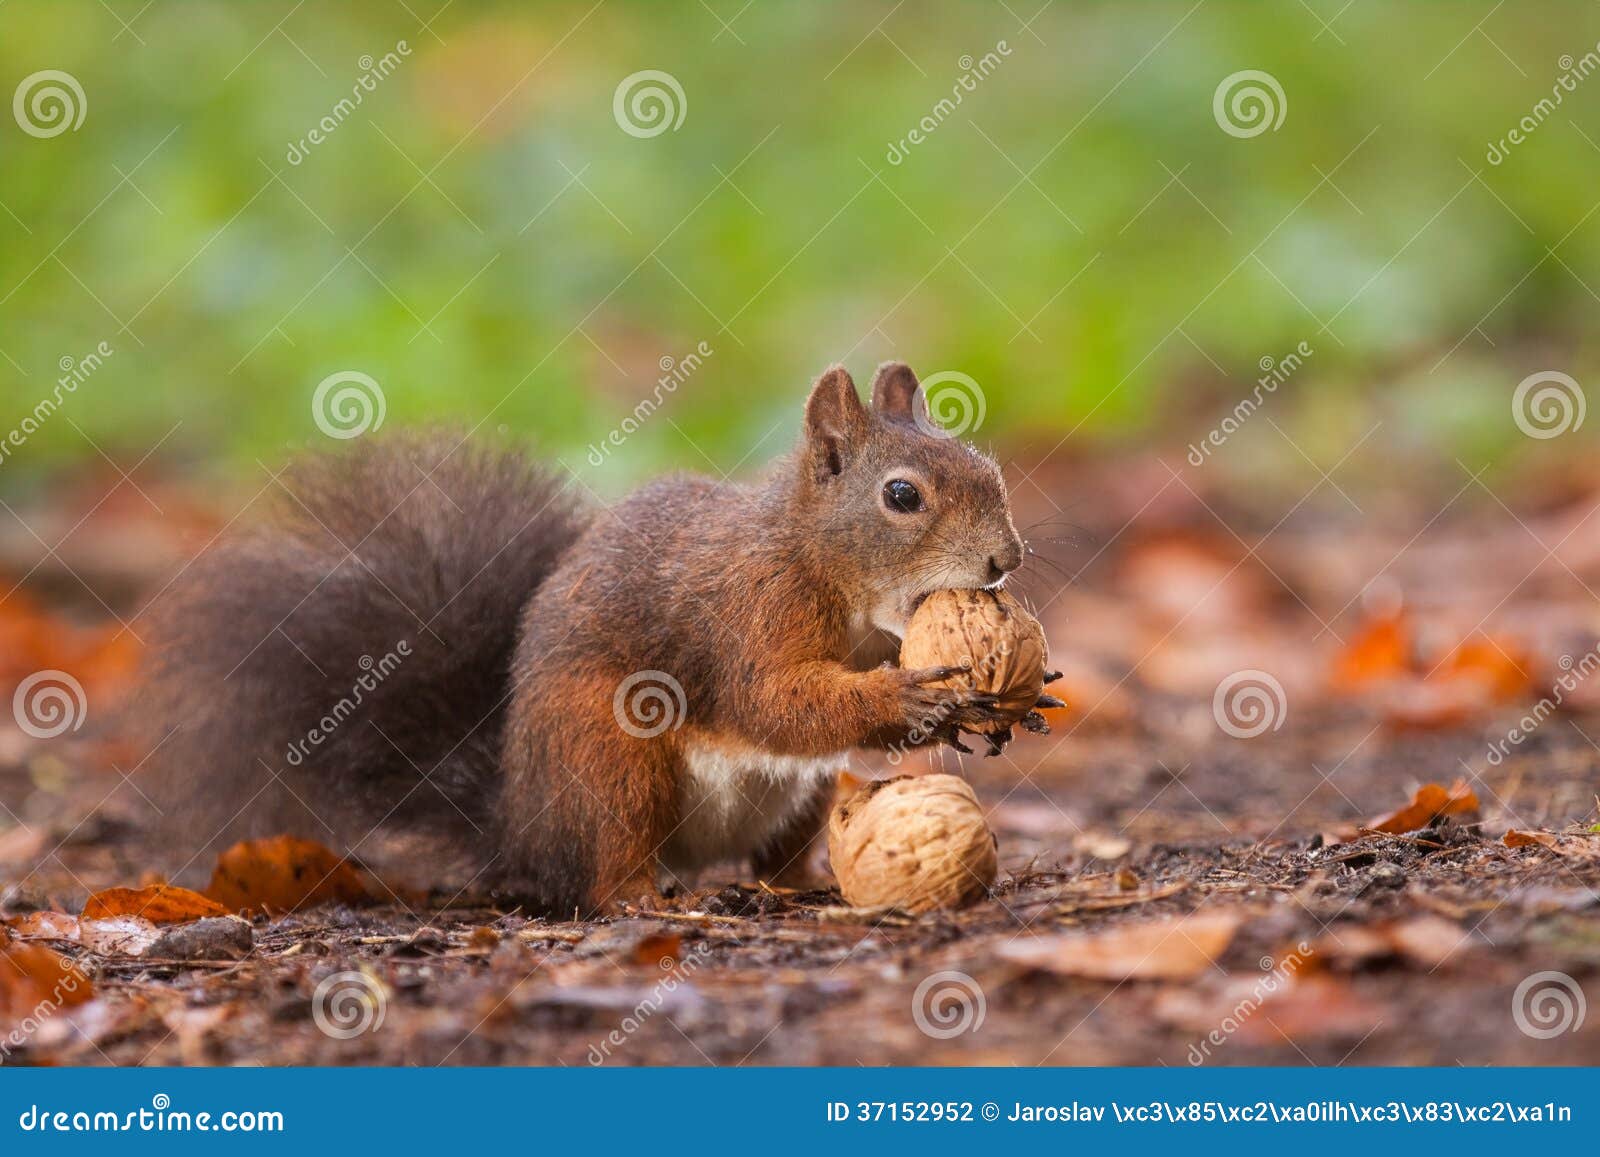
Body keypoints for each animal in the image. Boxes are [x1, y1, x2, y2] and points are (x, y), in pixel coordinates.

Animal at [142, 361, 1052, 916]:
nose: (1005, 558)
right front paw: (911, 693)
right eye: (902, 495)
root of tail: (518, 823)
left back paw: (802, 885)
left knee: (775, 856)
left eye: (985, 466)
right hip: (611, 758)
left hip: (798, 797)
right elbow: (774, 700)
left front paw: (1006, 700)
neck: (817, 563)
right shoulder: (750, 613)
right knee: (608, 864)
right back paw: (649, 897)